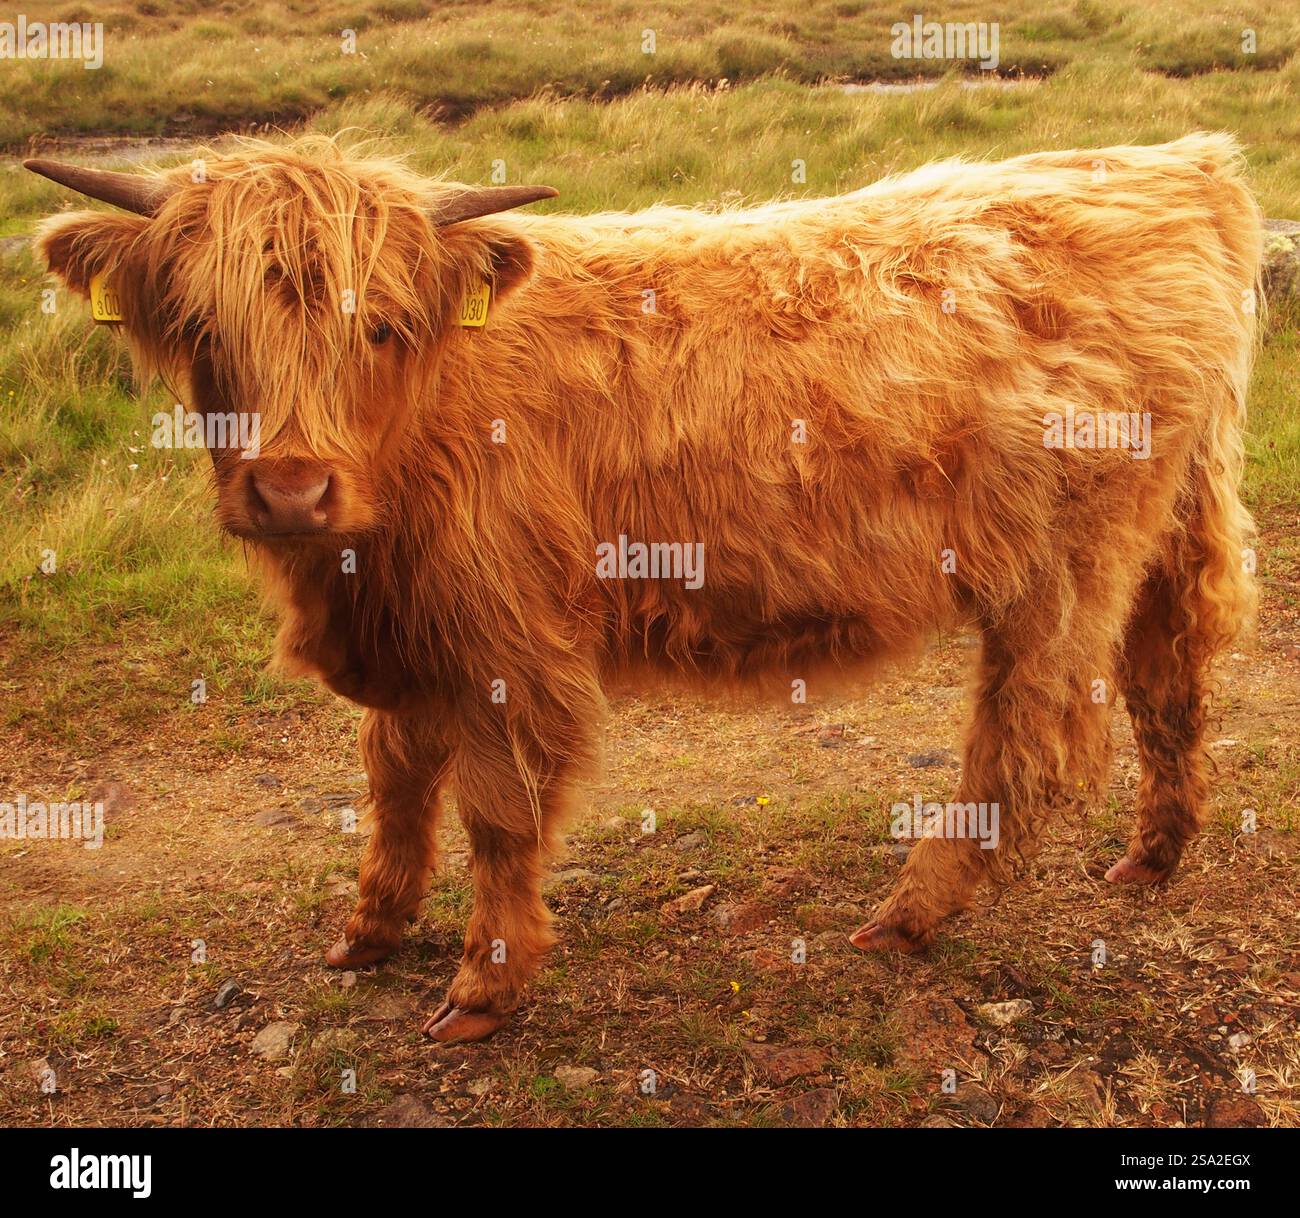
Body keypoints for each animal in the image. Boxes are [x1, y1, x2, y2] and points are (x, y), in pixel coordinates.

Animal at [27, 132, 1261, 1042]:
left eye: (376, 326)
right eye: (203, 330)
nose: (288, 490)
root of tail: (1180, 164)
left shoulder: (505, 642)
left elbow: (497, 813)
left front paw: (484, 987)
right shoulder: (414, 631)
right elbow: (393, 782)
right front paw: (368, 930)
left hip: (1064, 564)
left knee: (1033, 739)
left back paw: (910, 914)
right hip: (1171, 520)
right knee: (1169, 677)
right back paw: (1152, 857)